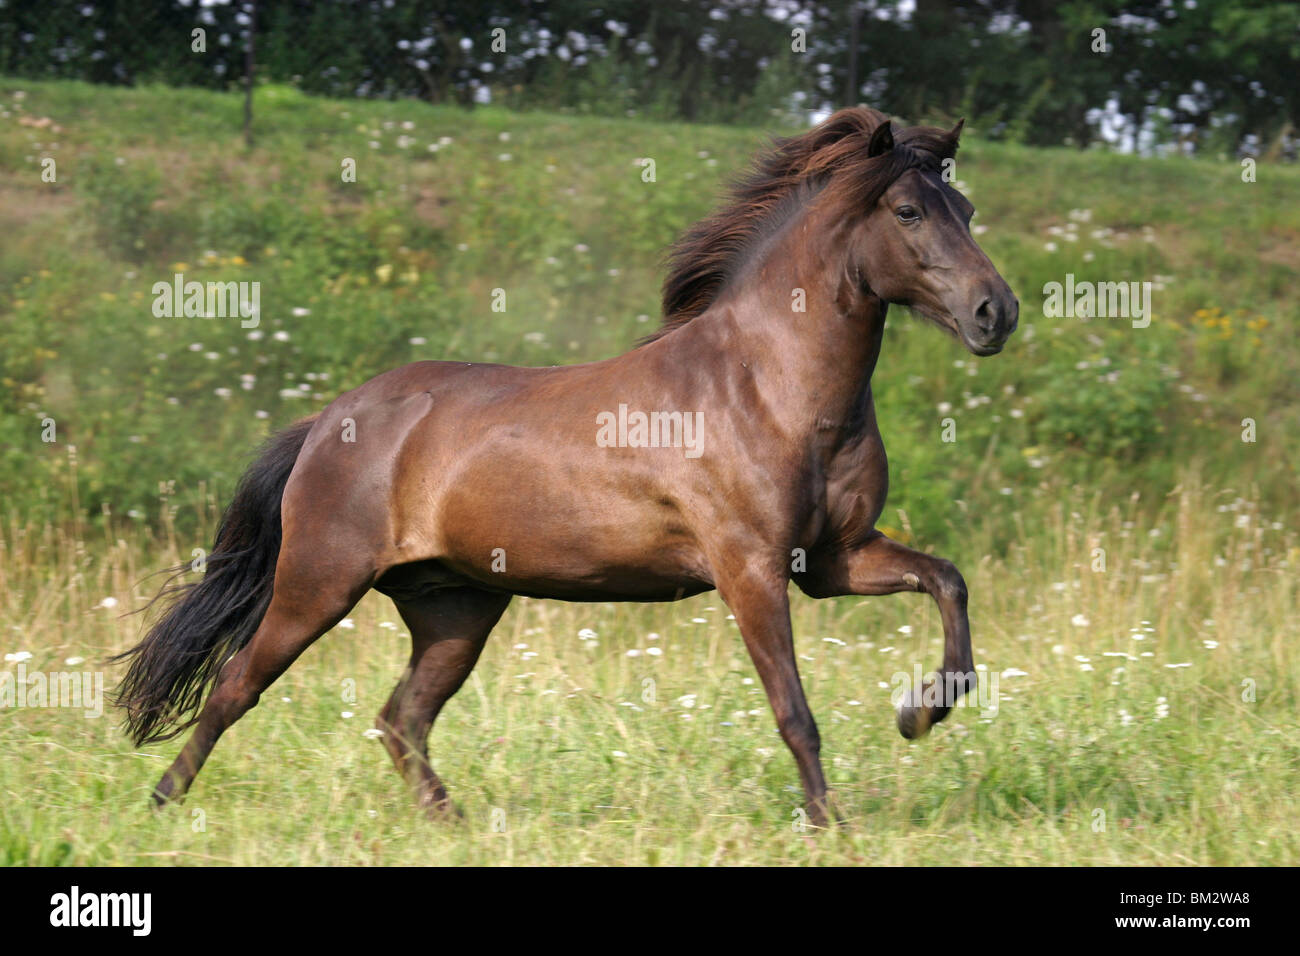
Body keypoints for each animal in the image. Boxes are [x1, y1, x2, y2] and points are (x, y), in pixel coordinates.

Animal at [113, 107, 1018, 827]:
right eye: (907, 209)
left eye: (968, 208)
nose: (995, 312)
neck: (770, 385)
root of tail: (329, 421)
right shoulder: (750, 568)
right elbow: (794, 709)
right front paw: (829, 823)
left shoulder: (831, 561)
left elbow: (947, 580)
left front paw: (920, 715)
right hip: (317, 584)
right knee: (237, 687)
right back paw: (159, 805)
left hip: (454, 609)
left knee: (401, 719)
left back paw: (456, 825)